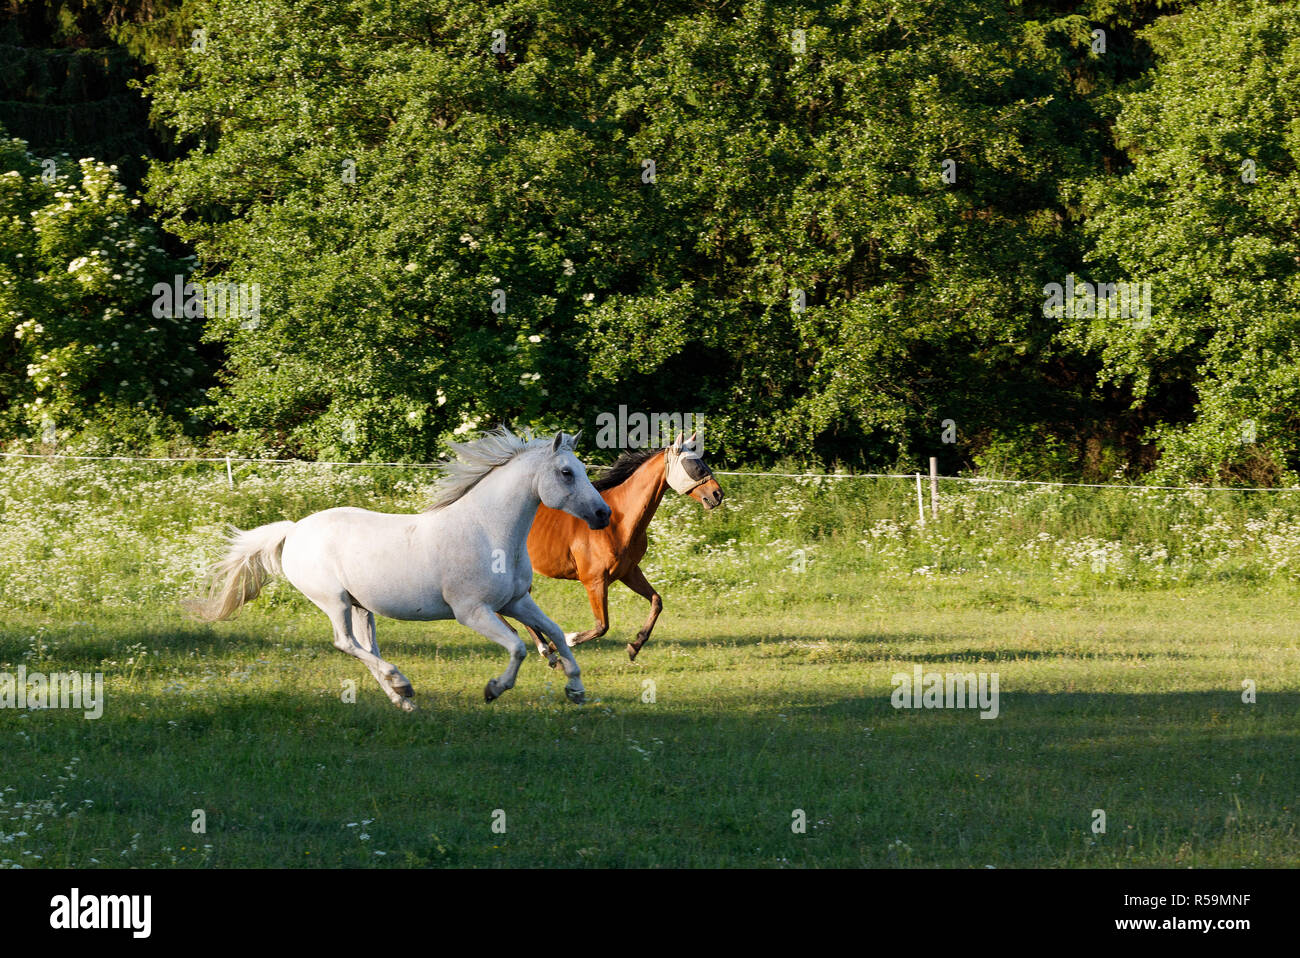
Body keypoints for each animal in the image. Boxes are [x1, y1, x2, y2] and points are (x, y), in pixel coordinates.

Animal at [185, 428, 612, 709]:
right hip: (334, 601)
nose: (603, 514)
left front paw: (575, 689)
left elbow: (554, 632)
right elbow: (518, 647)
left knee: (364, 646)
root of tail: (293, 530)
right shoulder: (472, 611)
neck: (487, 530)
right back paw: (402, 685)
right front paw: (493, 689)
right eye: (566, 472)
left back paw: (402, 698)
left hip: (361, 607)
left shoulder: (516, 601)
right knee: (346, 643)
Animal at [516, 431, 723, 662]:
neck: (617, 521)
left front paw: (634, 646)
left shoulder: (629, 571)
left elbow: (656, 601)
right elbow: (602, 626)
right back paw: (545, 649)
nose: (718, 494)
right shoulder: (594, 581)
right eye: (695, 465)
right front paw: (564, 640)